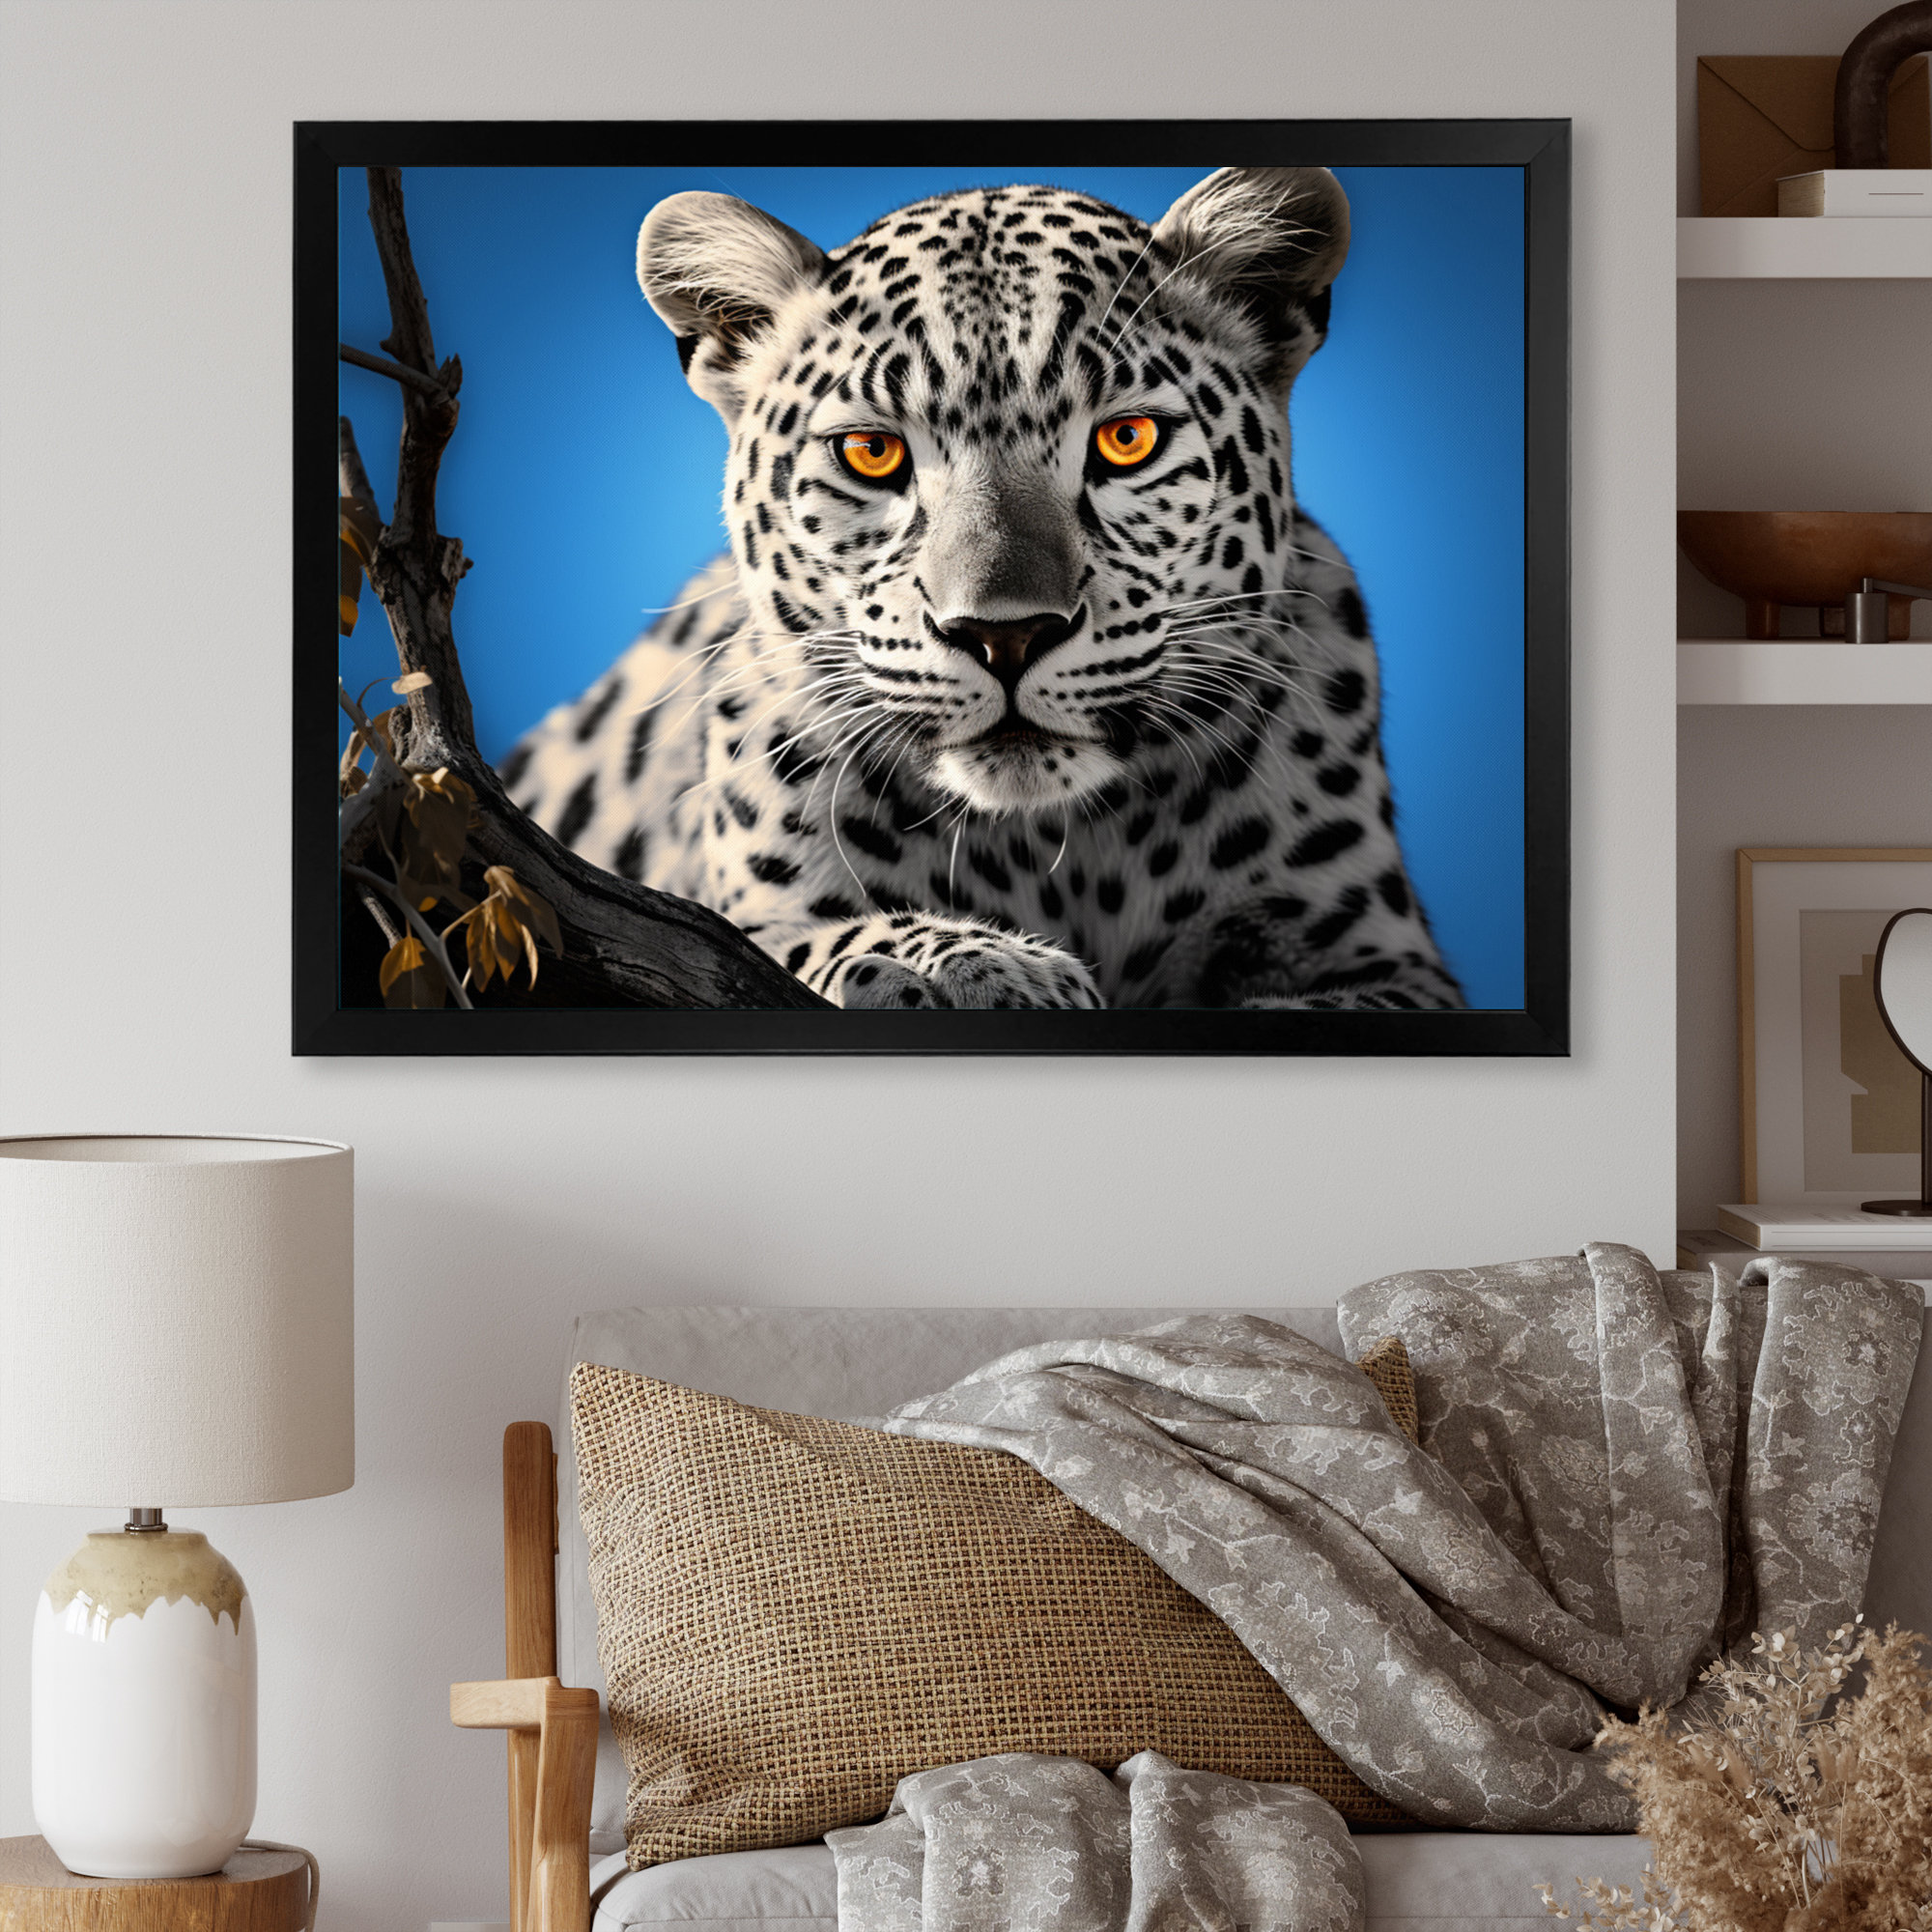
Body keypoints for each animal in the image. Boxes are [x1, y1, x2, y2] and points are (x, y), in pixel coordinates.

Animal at [501, 166, 1466, 1013]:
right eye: (872, 453)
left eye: (1126, 440)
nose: (1007, 635)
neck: (1065, 844)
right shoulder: (738, 915)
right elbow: (816, 937)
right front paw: (966, 967)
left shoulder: (1386, 962)